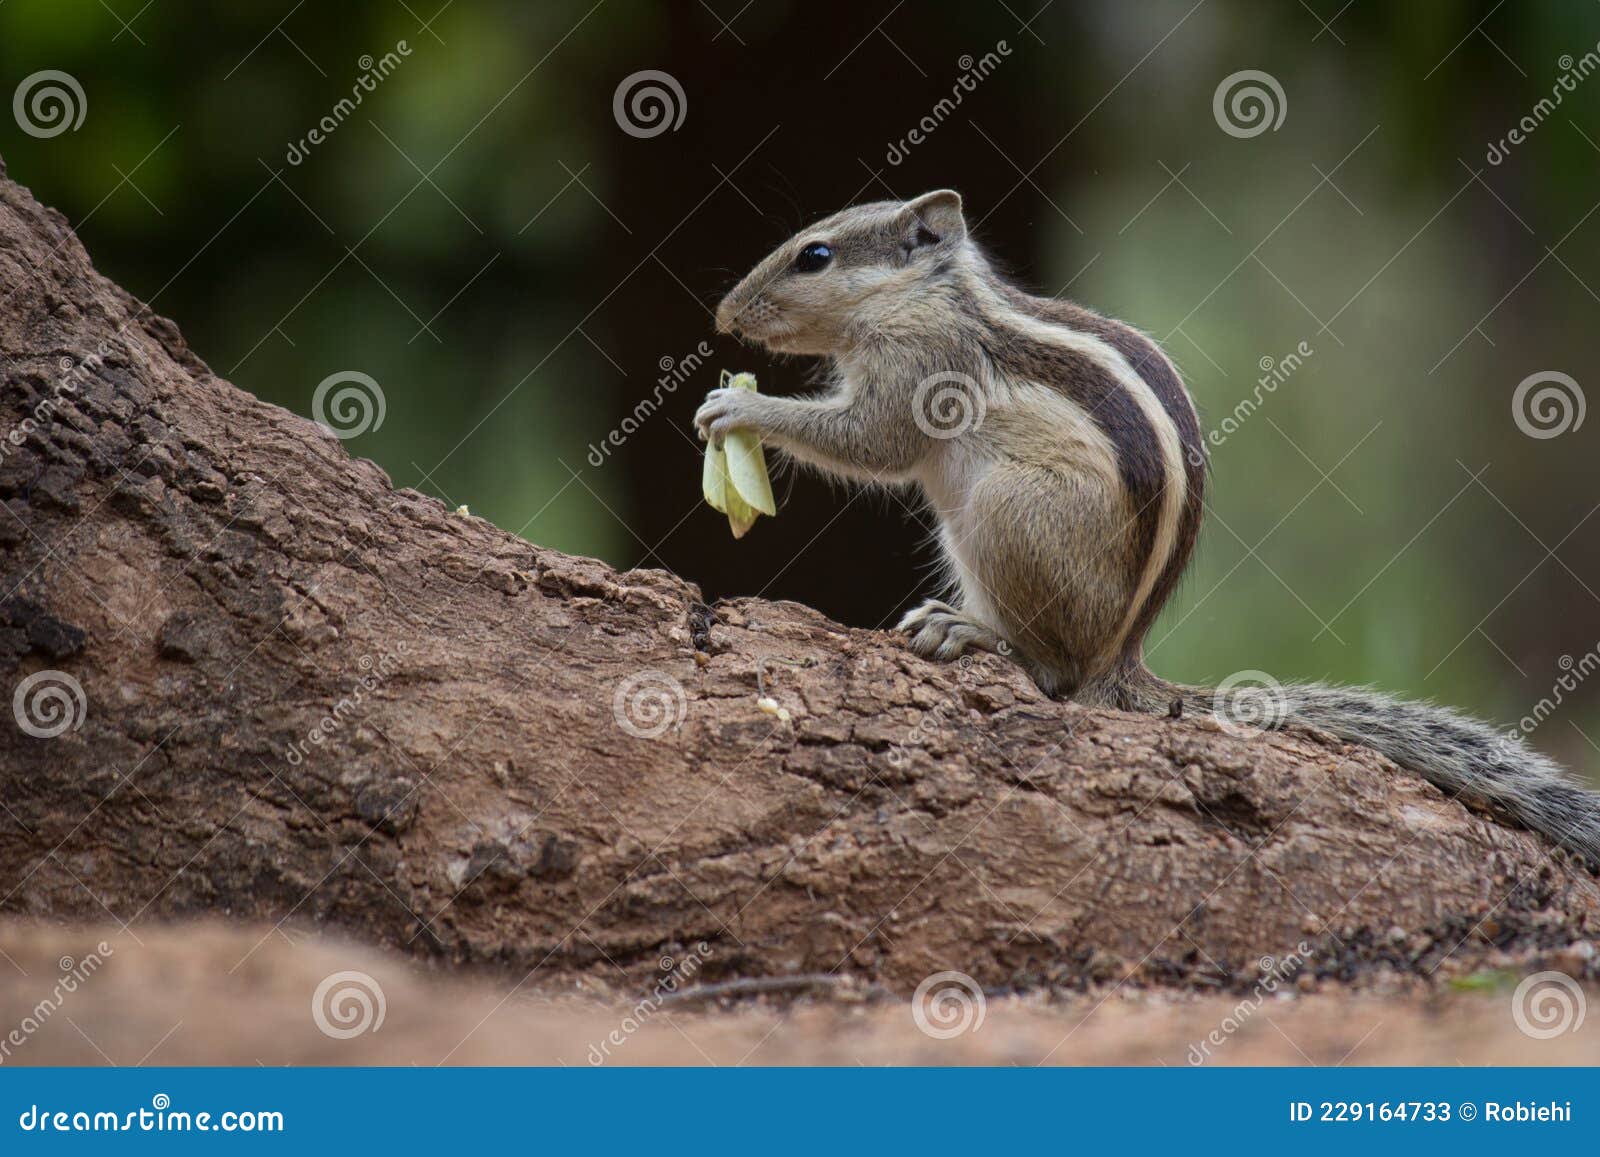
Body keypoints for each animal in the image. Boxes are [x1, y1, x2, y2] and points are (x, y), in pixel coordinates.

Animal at [695, 188, 1600, 866]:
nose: (723, 315)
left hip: (1007, 514)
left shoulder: (923, 367)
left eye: (816, 256)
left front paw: (738, 409)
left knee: (1053, 672)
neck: (931, 295)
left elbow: (872, 442)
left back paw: (977, 634)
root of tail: (1121, 658)